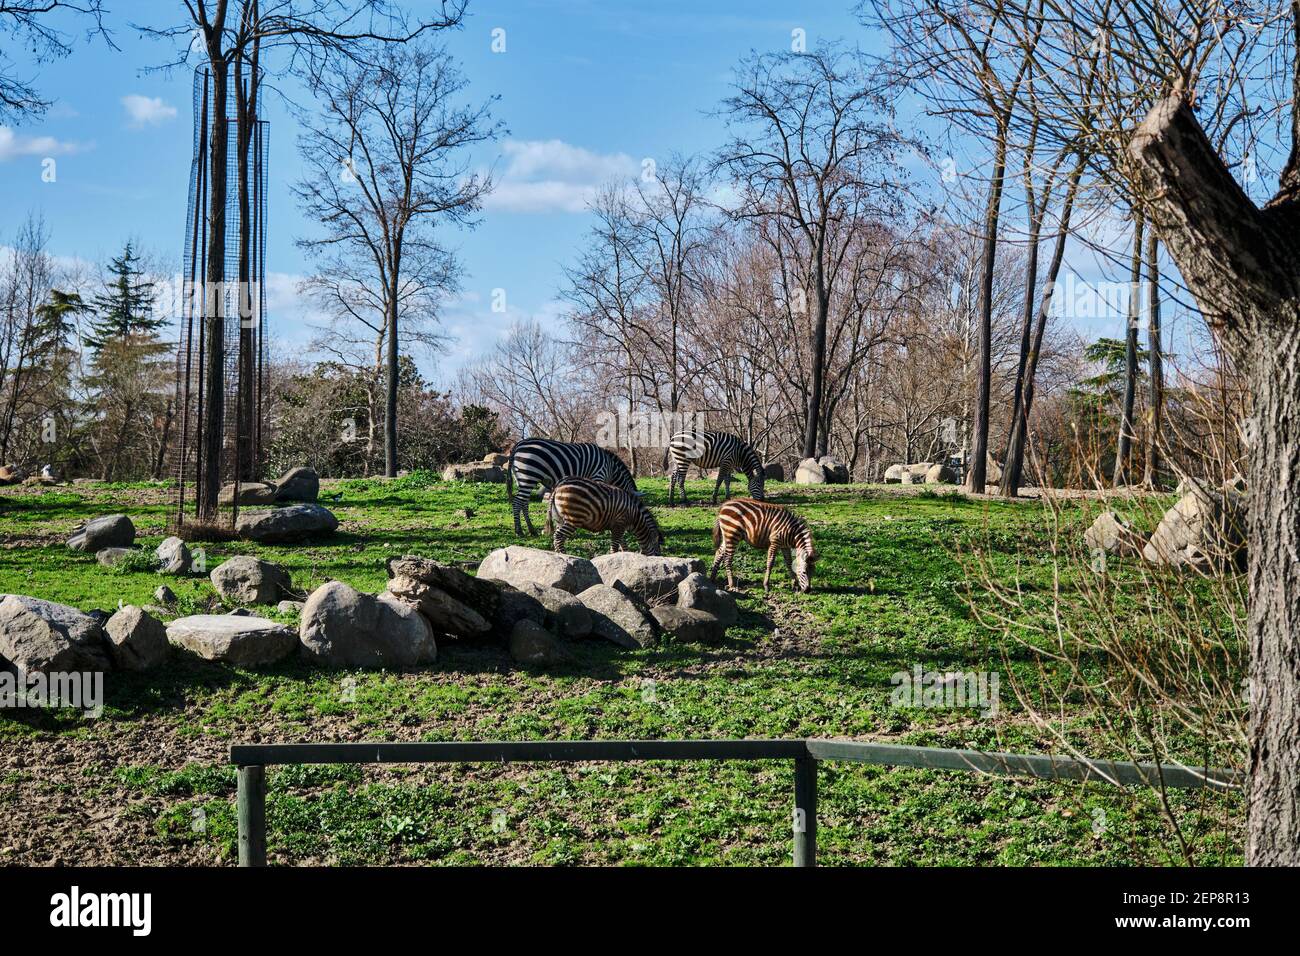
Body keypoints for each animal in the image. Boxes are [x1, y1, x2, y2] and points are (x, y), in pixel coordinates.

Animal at [507, 438, 639, 536]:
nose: (629, 530)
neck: (611, 469)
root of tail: (517, 445)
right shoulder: (598, 475)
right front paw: (599, 530)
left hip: (521, 479)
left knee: (524, 503)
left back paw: (532, 530)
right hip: (529, 475)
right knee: (518, 502)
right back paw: (519, 531)